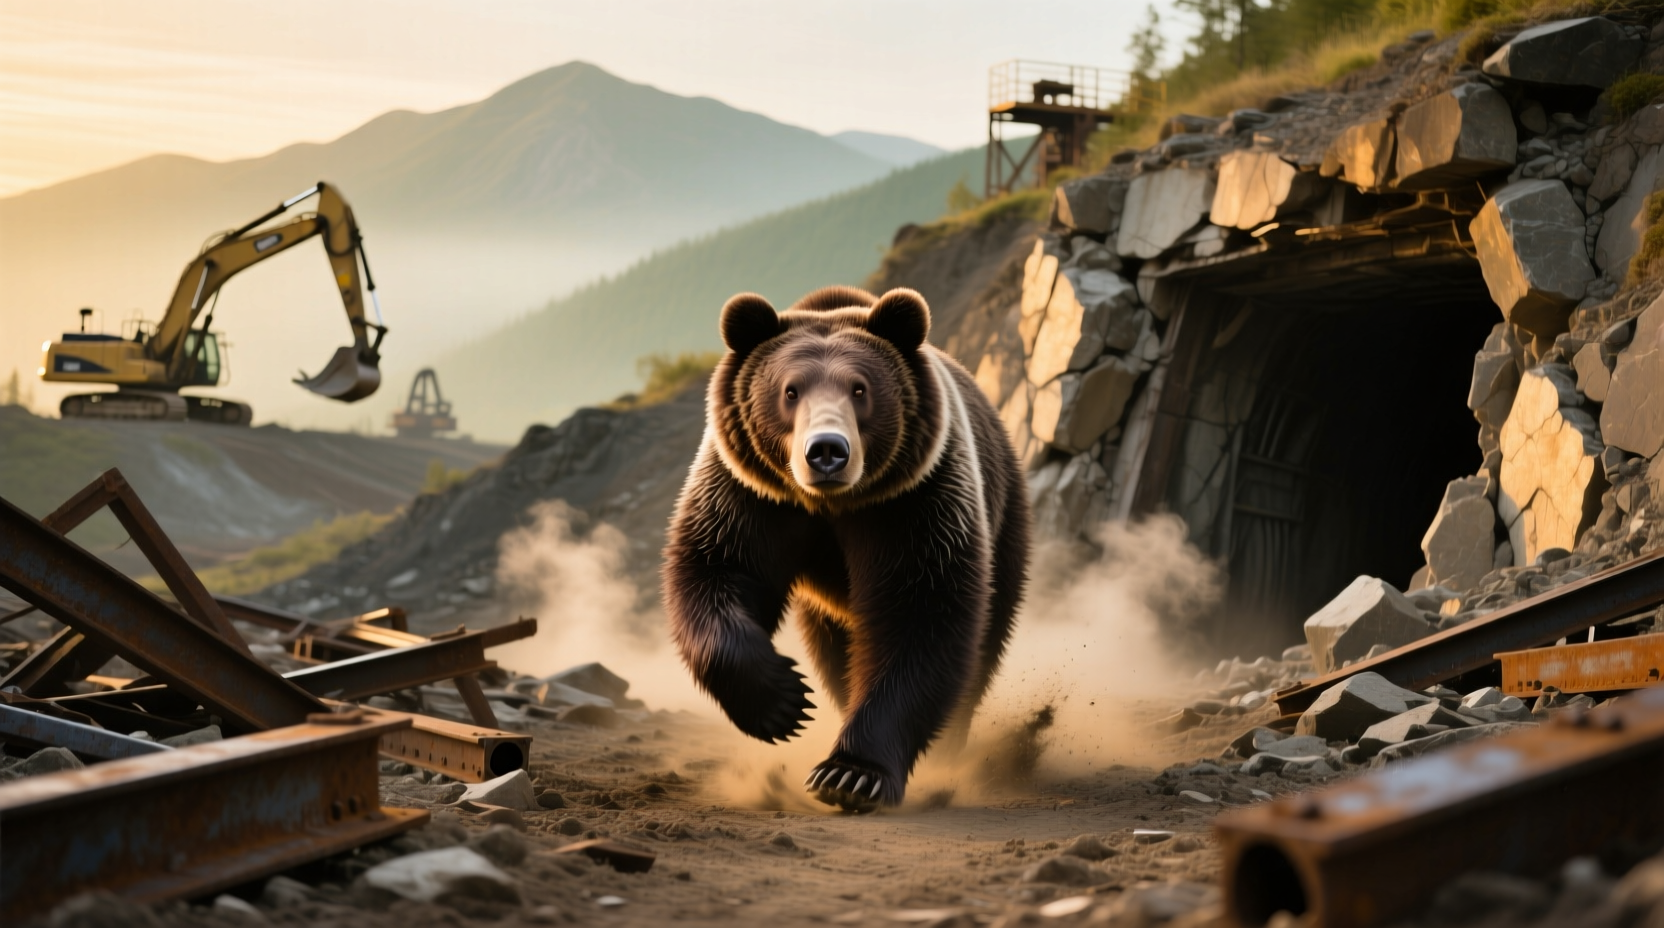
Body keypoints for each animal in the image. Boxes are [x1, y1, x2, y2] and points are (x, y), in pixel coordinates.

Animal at [662, 284, 1031, 810]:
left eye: (860, 388)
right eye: (790, 390)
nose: (827, 451)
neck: (831, 504)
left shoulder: (915, 502)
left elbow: (921, 615)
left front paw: (851, 774)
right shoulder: (752, 496)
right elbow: (715, 570)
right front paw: (782, 701)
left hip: (1004, 521)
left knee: (983, 642)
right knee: (836, 652)